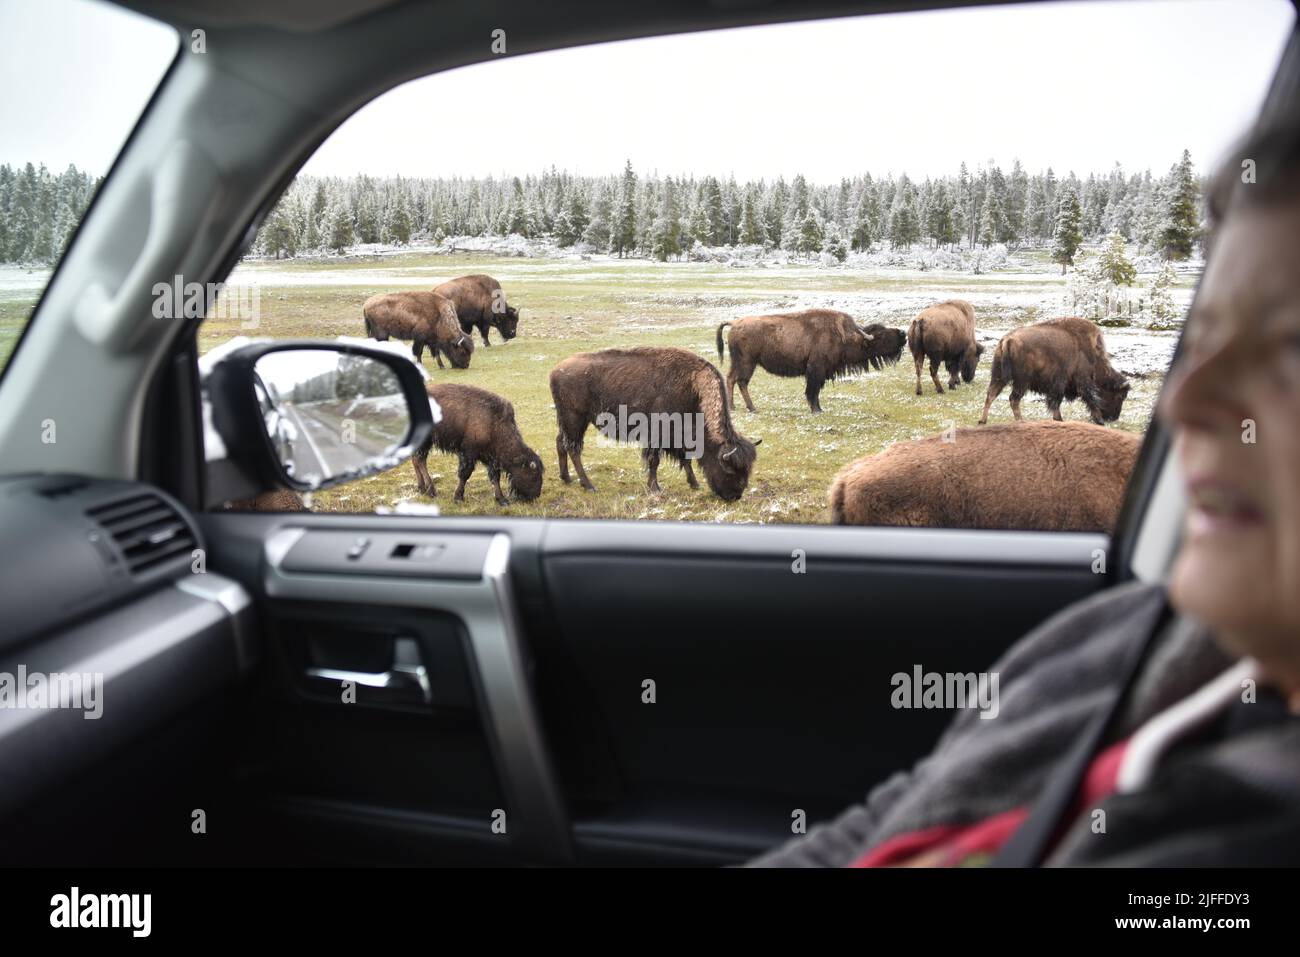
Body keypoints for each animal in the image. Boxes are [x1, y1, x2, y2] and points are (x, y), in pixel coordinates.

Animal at [412, 383, 543, 506]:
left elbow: (495, 478)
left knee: (416, 460)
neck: (495, 424)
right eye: (534, 475)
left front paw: (501, 499)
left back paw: (421, 488)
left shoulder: (491, 458)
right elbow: (465, 474)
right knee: (420, 461)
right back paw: (431, 491)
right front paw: (458, 497)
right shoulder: (468, 454)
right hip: (426, 441)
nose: (536, 495)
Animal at [549, 346, 760, 500]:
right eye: (729, 468)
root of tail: (555, 371)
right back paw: (589, 485)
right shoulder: (657, 435)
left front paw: (694, 484)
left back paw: (567, 478)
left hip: (567, 422)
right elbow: (655, 461)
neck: (694, 387)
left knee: (561, 443)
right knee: (573, 449)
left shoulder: (679, 437)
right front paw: (655, 488)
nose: (735, 496)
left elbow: (685, 459)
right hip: (575, 420)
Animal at [716, 309, 906, 413]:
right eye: (881, 335)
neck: (845, 336)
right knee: (739, 381)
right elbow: (812, 391)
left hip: (742, 363)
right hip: (747, 363)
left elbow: (816, 392)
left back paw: (743, 407)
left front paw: (819, 409)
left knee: (733, 379)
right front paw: (816, 410)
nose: (903, 334)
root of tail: (735, 323)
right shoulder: (816, 370)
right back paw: (744, 407)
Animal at [979, 316, 1130, 425]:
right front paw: (1098, 420)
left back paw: (982, 421)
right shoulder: (1079, 381)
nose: (1113, 417)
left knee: (991, 394)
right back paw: (1021, 421)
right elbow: (1088, 399)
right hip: (1022, 382)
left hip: (999, 377)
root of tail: (1008, 340)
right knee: (1013, 399)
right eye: (1120, 395)